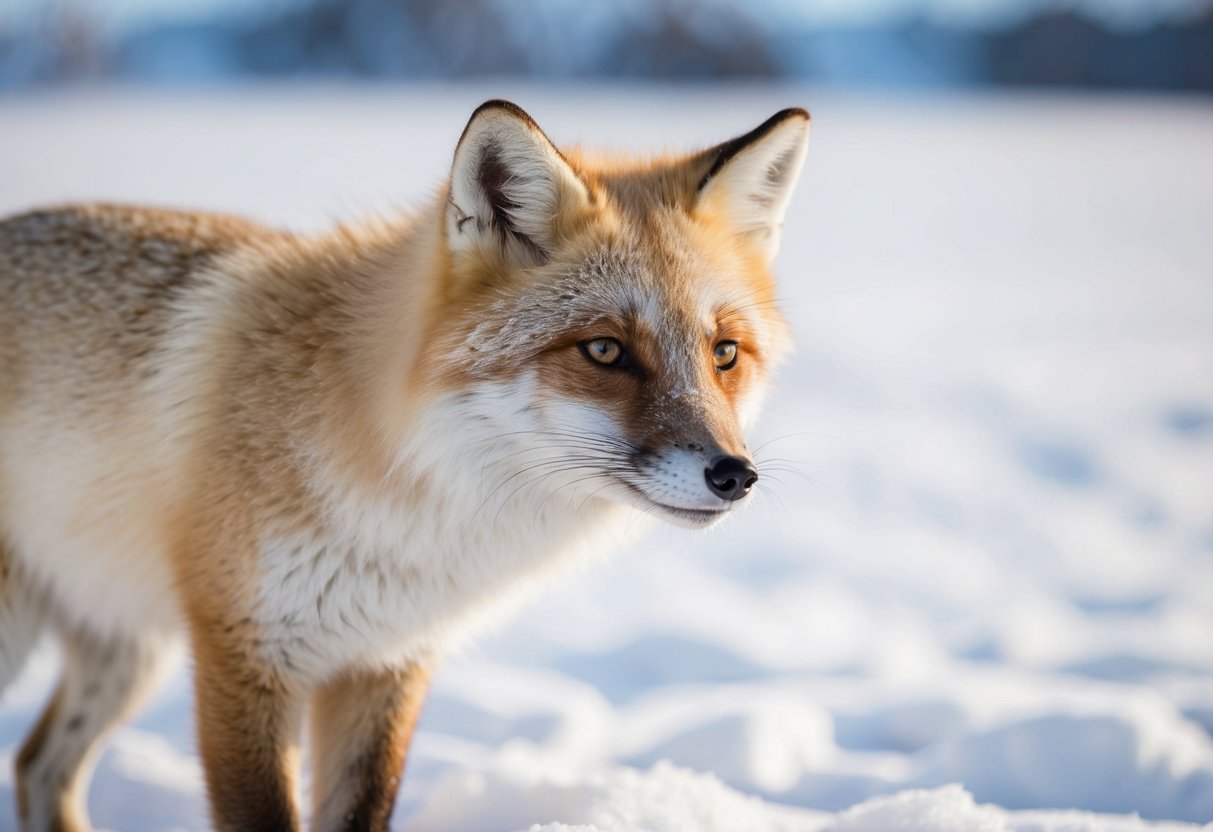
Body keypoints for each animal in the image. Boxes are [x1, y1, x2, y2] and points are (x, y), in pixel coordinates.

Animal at [0, 99, 809, 831]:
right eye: (604, 350)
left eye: (724, 353)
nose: (734, 475)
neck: (408, 507)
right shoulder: (245, 653)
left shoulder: (385, 663)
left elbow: (362, 811)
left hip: (129, 655)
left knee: (38, 767)